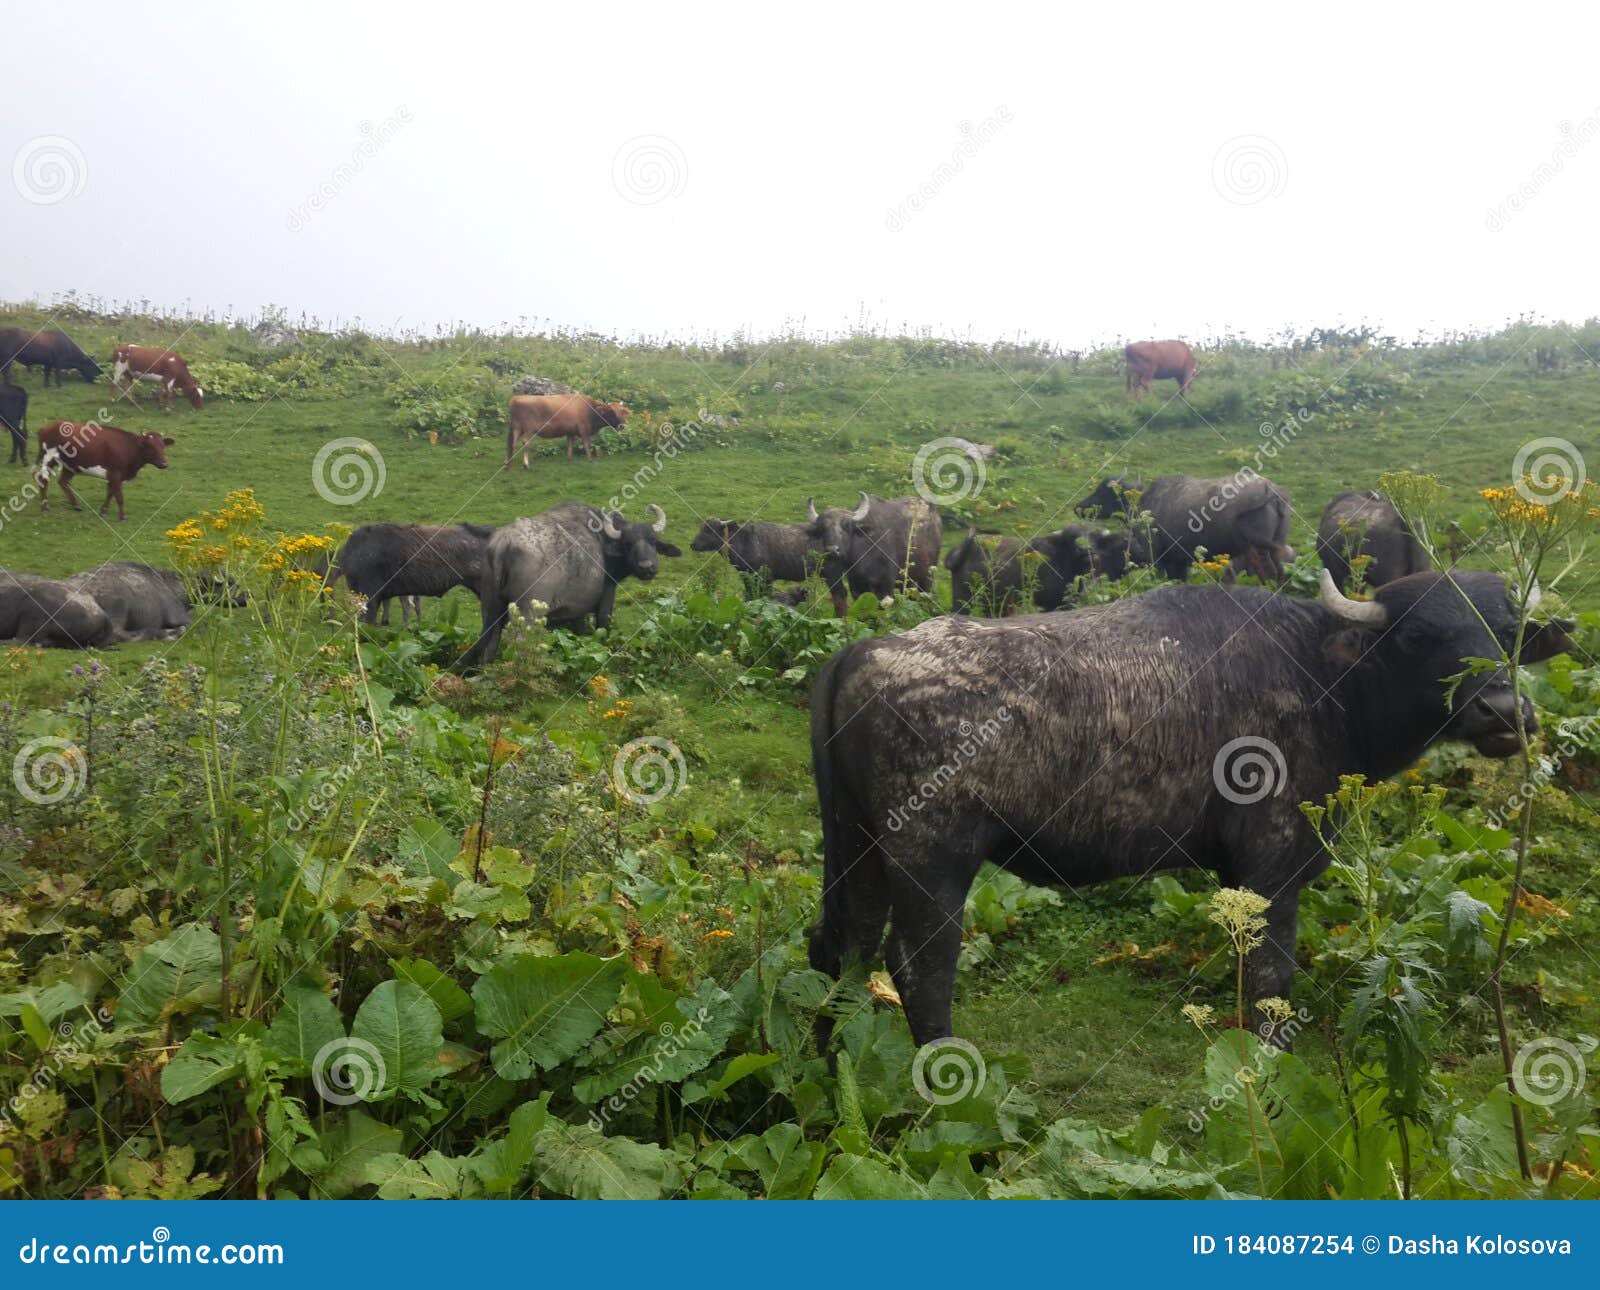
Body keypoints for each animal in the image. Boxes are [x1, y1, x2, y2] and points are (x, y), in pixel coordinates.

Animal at [36, 421, 174, 521]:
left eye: (162, 446)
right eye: (150, 446)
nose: (164, 464)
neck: (129, 448)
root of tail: (47, 426)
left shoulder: (115, 476)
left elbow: (110, 493)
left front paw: (103, 511)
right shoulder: (115, 473)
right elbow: (119, 496)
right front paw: (122, 517)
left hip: (70, 464)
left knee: (63, 481)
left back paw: (75, 505)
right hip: (48, 458)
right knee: (43, 479)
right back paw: (44, 507)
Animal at [467, 502, 681, 663]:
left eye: (653, 541)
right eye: (628, 544)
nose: (647, 567)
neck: (602, 542)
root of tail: (503, 543)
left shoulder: (576, 611)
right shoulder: (606, 595)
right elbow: (604, 625)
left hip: (491, 607)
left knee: (489, 644)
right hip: (528, 611)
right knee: (520, 641)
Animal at [804, 492, 943, 617]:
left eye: (846, 526)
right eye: (822, 529)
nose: (832, 550)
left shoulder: (886, 587)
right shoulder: (856, 587)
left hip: (927, 577)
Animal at [808, 570, 1574, 1051]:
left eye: (1508, 631)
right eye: (1419, 636)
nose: (1503, 712)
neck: (1318, 673)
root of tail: (863, 651)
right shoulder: (1272, 866)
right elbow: (1270, 978)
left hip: (857, 849)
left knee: (839, 945)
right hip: (933, 860)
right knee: (918, 968)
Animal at [1077, 473, 1295, 582]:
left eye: (1103, 492)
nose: (1078, 507)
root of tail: (1272, 493)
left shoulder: (1161, 560)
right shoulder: (1180, 563)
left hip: (1257, 550)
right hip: (1277, 547)